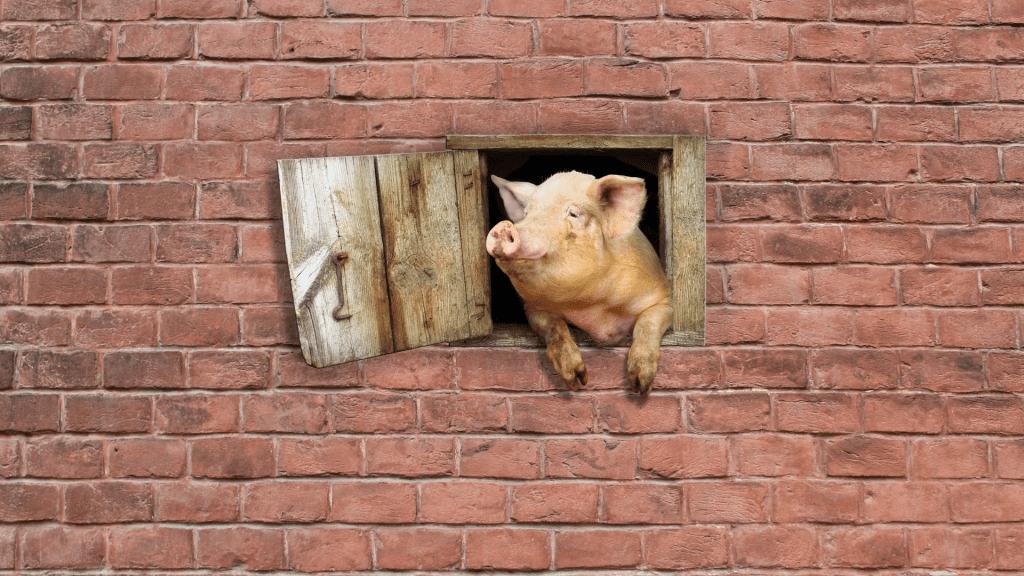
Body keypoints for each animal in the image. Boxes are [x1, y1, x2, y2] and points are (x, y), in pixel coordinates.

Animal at [486, 171, 673, 397]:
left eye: (573, 214)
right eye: (527, 213)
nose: (504, 227)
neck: (593, 309)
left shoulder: (662, 297)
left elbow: (648, 322)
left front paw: (641, 387)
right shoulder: (533, 308)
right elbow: (553, 325)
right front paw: (577, 381)